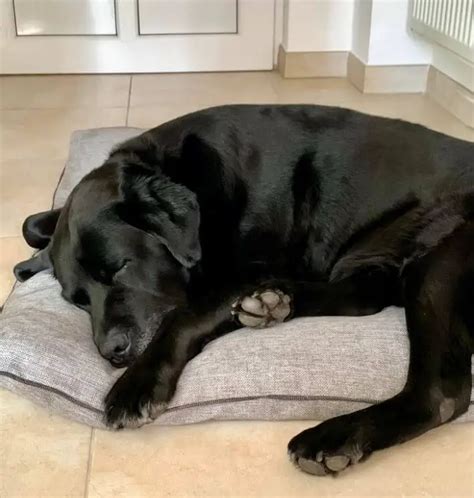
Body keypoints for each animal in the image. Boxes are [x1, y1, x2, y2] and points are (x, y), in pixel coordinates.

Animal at [12, 104, 472, 474]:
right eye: (79, 301)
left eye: (121, 267)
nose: (112, 352)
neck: (190, 184)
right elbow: (30, 223)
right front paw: (32, 259)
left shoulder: (247, 271)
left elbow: (186, 316)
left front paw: (137, 384)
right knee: (363, 297)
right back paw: (273, 304)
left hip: (439, 260)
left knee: (441, 394)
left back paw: (334, 436)